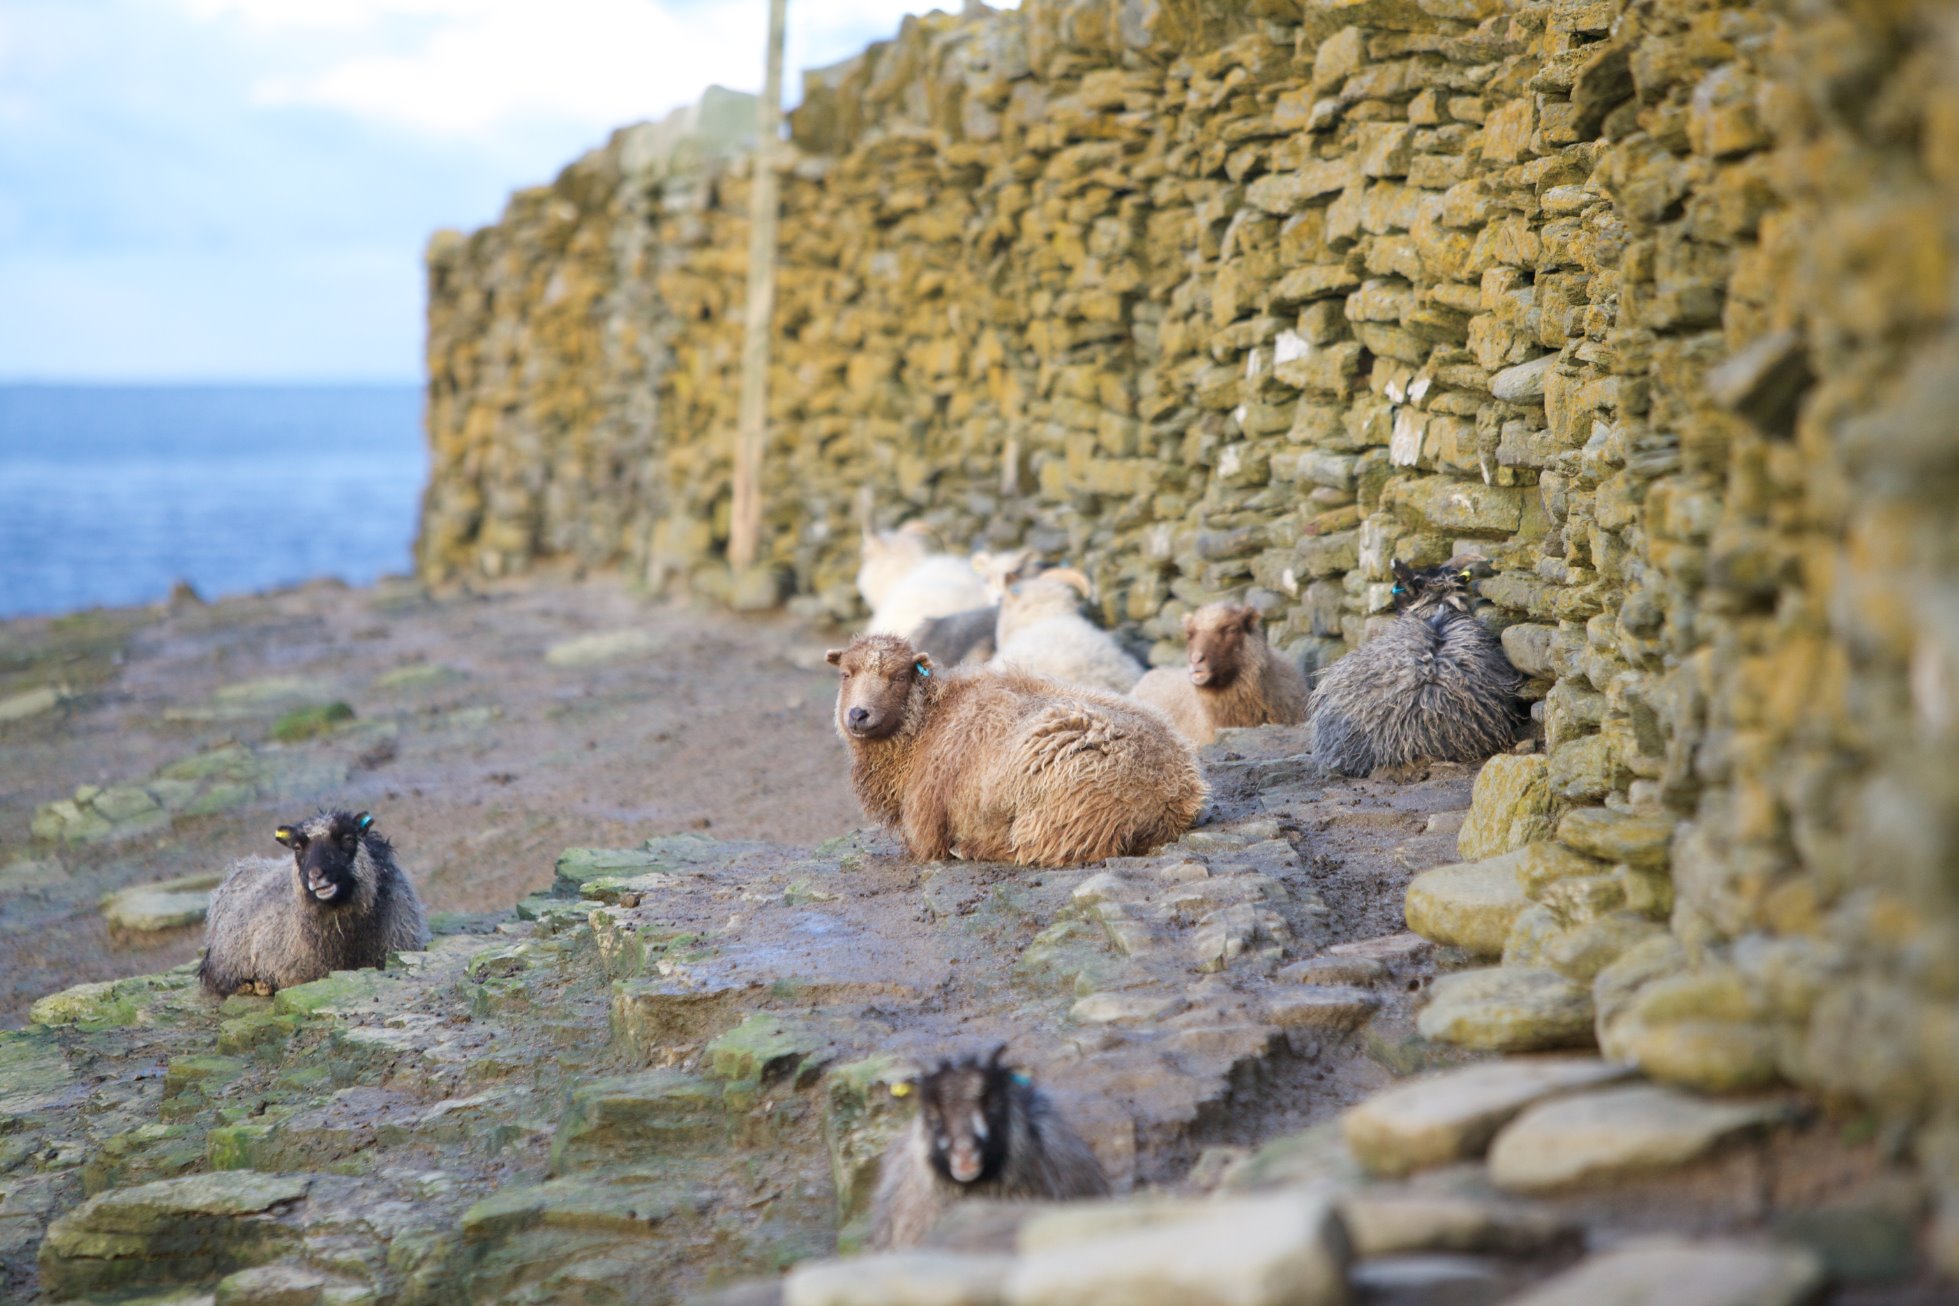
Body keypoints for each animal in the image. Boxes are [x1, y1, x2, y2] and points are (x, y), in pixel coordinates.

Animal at [826, 633, 1205, 866]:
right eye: (845, 674)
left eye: (899, 677)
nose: (858, 714)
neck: (929, 720)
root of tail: (1172, 791)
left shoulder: (925, 826)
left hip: (1061, 812)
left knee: (1032, 848)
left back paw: (970, 848)